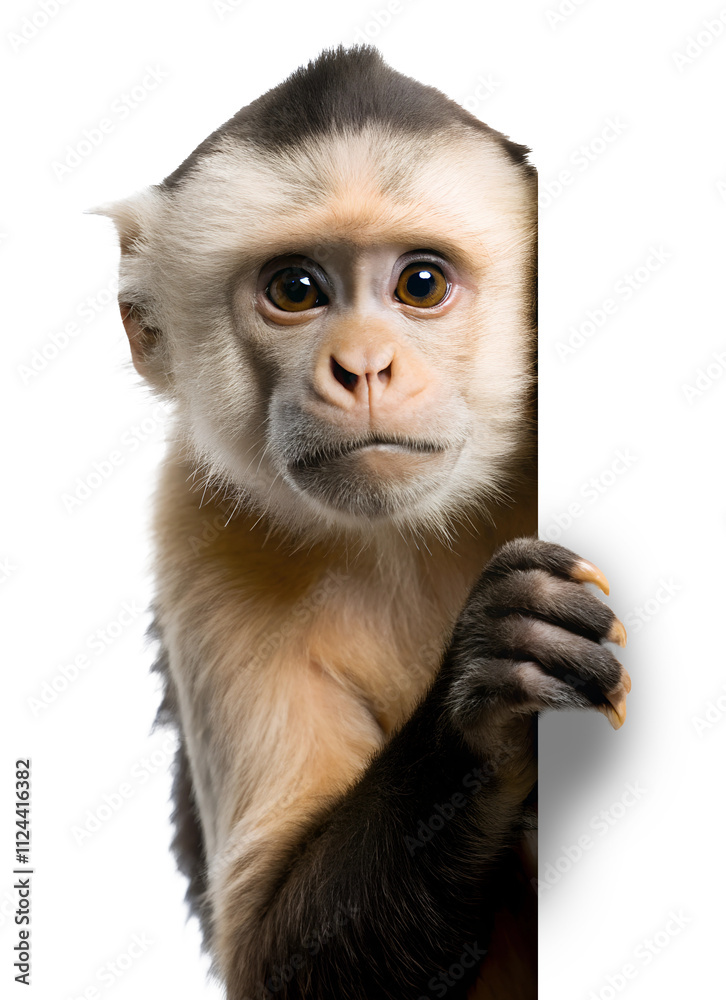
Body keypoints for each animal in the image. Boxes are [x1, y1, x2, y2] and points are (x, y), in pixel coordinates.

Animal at [98, 46, 630, 1000]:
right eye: (296, 289)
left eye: (421, 283)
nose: (364, 366)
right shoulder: (193, 522)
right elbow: (267, 951)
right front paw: (486, 695)